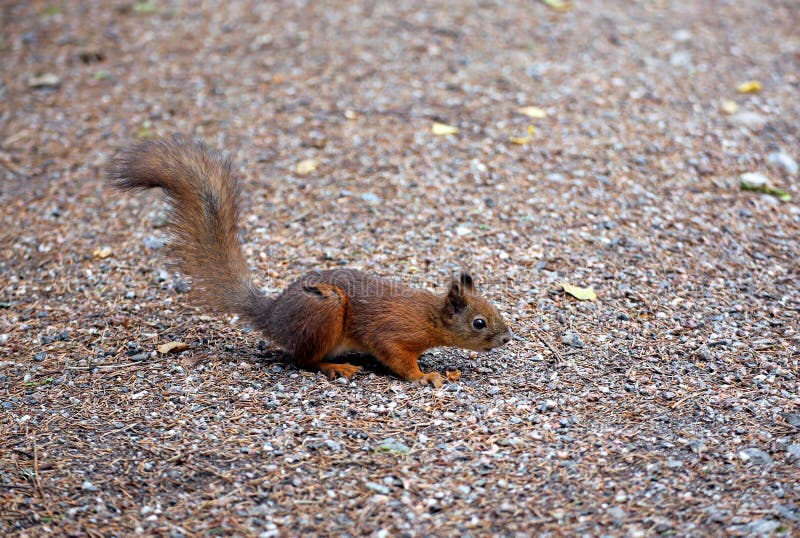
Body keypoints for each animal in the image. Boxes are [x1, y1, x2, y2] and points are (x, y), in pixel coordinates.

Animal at [107, 135, 511, 387]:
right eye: (478, 323)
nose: (508, 338)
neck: (430, 317)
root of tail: (273, 316)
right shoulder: (392, 333)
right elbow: (396, 357)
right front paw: (424, 376)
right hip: (324, 312)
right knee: (302, 360)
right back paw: (336, 366)